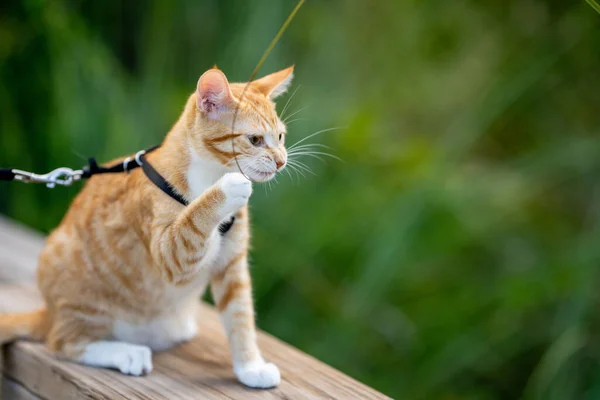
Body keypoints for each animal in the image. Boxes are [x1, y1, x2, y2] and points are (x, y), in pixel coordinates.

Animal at [0, 65, 292, 388]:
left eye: (280, 137)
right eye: (255, 140)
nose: (281, 161)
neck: (207, 175)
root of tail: (49, 312)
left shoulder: (232, 266)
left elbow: (240, 317)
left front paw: (250, 367)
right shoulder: (173, 253)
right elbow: (193, 222)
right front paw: (226, 189)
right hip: (83, 300)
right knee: (62, 343)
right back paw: (126, 354)